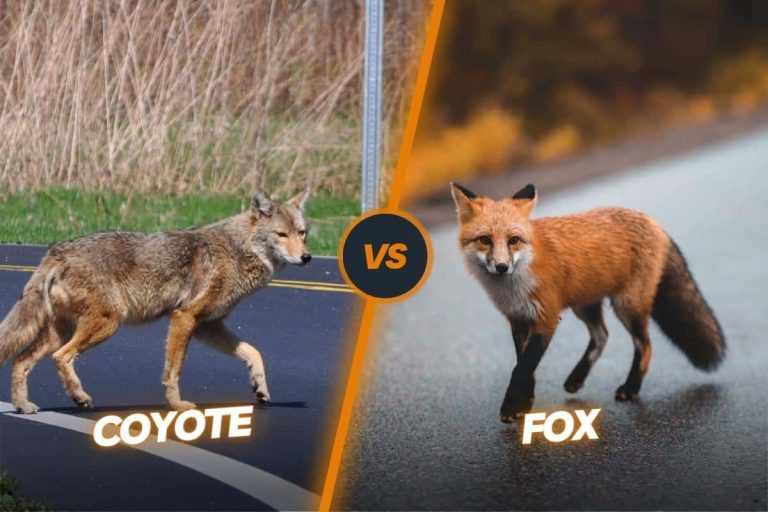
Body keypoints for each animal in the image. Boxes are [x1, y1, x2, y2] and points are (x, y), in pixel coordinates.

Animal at [0, 188, 311, 414]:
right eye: (281, 234)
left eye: (302, 232)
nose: (307, 257)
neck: (237, 251)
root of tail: (55, 251)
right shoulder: (184, 318)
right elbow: (173, 371)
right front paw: (177, 406)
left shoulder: (208, 327)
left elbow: (253, 353)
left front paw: (261, 390)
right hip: (105, 326)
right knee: (61, 357)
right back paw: (80, 397)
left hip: (62, 332)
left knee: (21, 360)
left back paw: (23, 406)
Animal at [450, 182, 725, 423]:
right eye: (485, 240)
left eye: (513, 240)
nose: (501, 267)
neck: (517, 283)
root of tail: (653, 222)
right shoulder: (518, 320)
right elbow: (525, 366)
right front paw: (524, 403)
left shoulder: (546, 318)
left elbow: (521, 369)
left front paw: (511, 407)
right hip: (585, 306)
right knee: (602, 336)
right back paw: (577, 378)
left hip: (626, 306)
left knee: (644, 345)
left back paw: (631, 387)